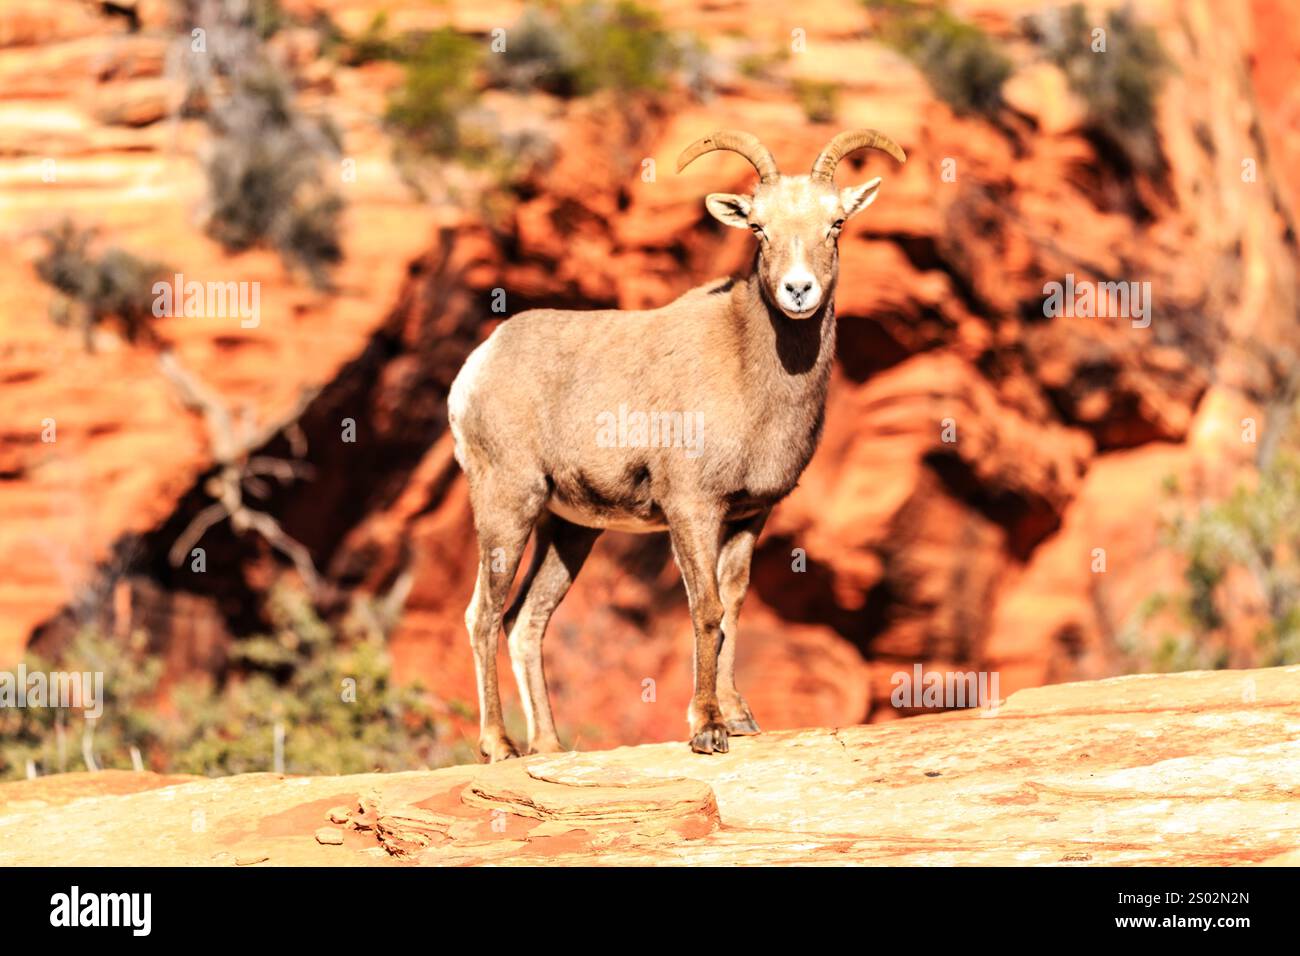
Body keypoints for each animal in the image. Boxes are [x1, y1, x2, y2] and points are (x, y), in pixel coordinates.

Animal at [448, 129, 906, 760]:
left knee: (525, 623)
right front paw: (708, 728)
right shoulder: (691, 508)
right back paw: (499, 746)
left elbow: (733, 607)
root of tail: (478, 364)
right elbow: (706, 609)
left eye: (835, 224)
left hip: (570, 530)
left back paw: (551, 748)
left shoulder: (747, 516)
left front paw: (740, 718)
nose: (798, 290)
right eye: (758, 227)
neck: (751, 372)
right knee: (484, 614)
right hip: (507, 505)